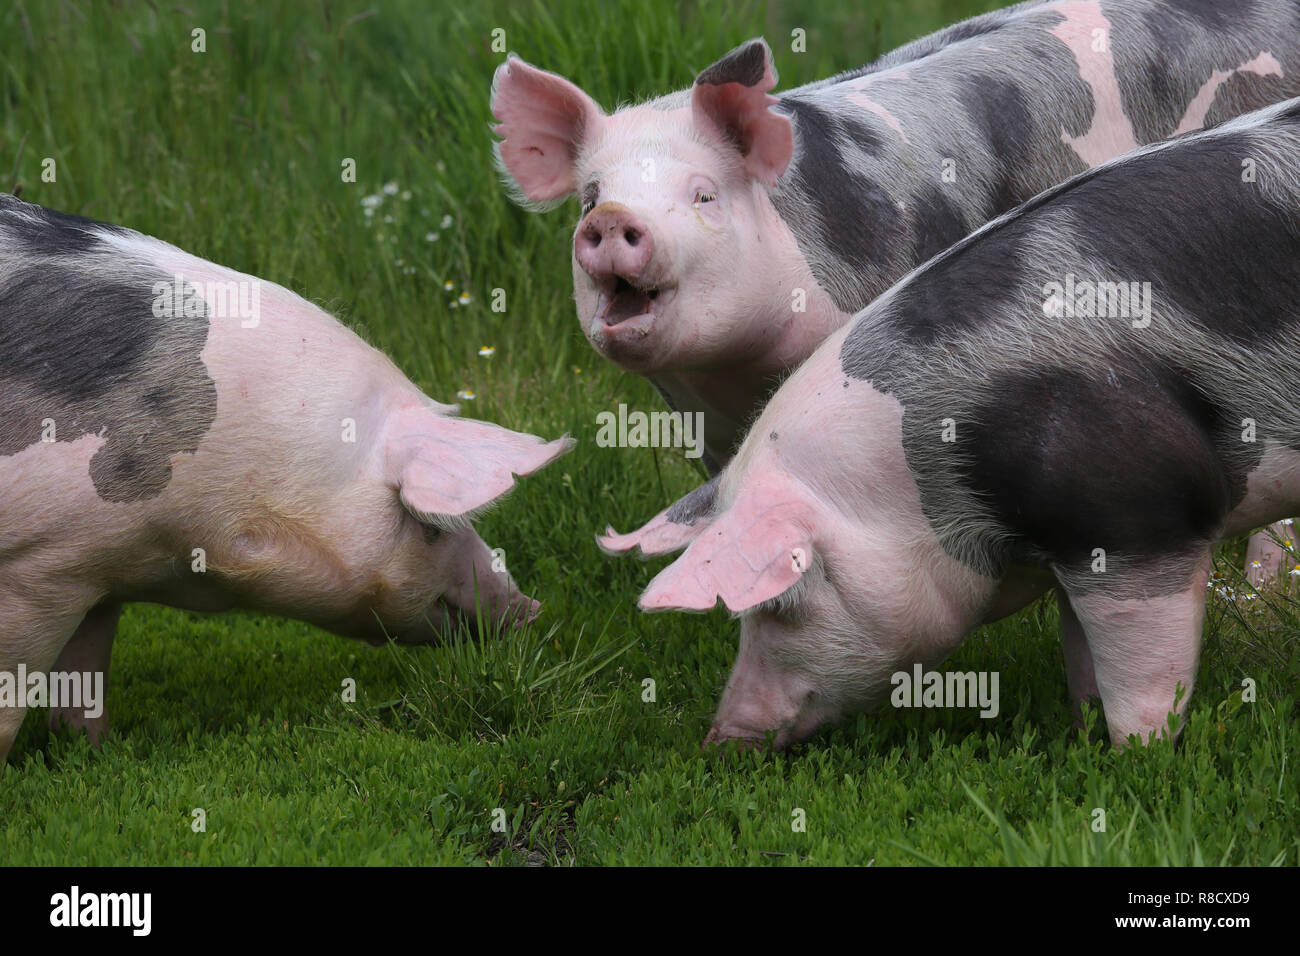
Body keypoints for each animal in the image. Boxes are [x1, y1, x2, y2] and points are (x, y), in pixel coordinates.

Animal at [0, 194, 572, 763]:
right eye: (432, 527)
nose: (531, 608)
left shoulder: (97, 565)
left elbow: (86, 674)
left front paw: (91, 754)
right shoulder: (38, 564)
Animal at [601, 97, 1300, 749]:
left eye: (781, 607)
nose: (722, 740)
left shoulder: (1141, 512)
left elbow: (1143, 682)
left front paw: (1136, 763)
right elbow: (1082, 660)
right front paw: (1082, 738)